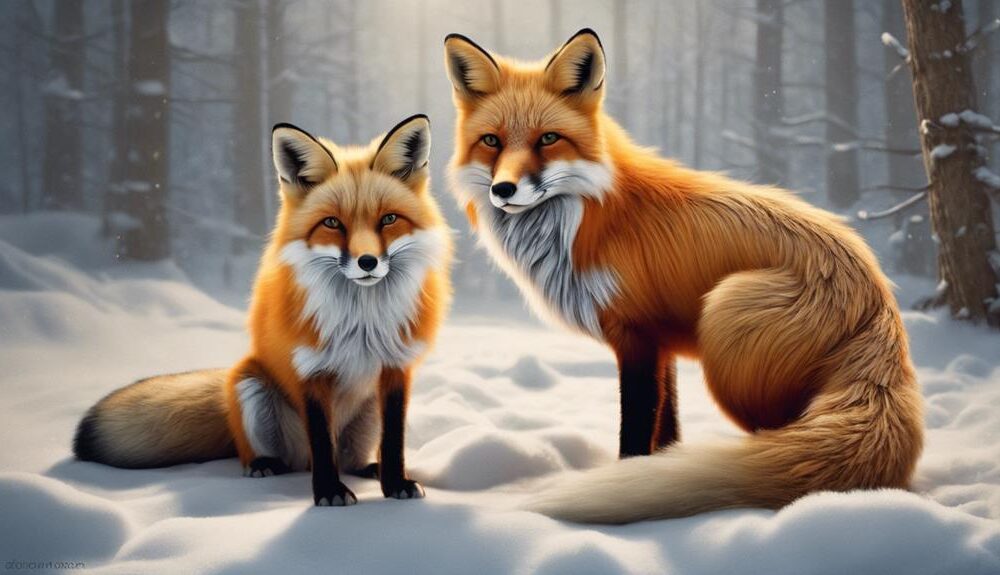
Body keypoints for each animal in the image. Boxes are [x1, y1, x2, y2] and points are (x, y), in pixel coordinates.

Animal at [74, 115, 452, 506]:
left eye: (389, 219)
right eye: (333, 223)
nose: (367, 262)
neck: (362, 322)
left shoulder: (396, 368)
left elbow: (394, 443)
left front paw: (395, 485)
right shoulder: (310, 369)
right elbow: (322, 443)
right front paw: (329, 494)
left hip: (366, 413)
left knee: (350, 458)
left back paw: (368, 468)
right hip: (251, 386)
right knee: (279, 456)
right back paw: (263, 465)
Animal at [444, 29, 923, 523]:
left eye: (549, 139)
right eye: (491, 141)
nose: (503, 189)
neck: (587, 219)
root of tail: (879, 297)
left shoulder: (635, 336)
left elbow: (636, 429)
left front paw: (628, 484)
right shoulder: (663, 343)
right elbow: (668, 430)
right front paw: (650, 478)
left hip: (730, 337)